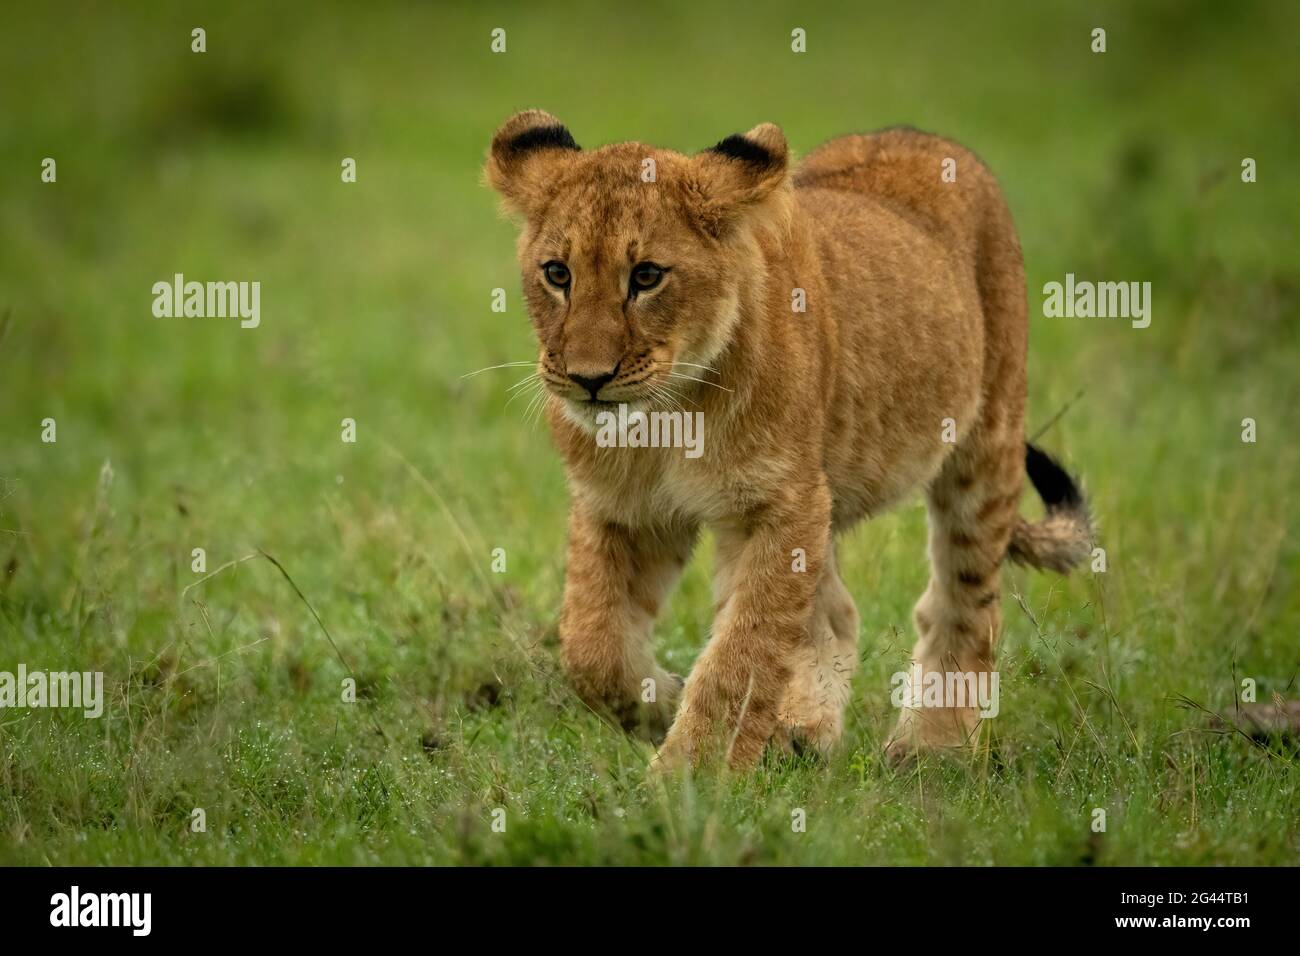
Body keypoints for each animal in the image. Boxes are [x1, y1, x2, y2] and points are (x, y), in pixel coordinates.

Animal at [484, 110, 1092, 769]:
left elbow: (741, 655)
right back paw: (802, 731)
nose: (588, 379)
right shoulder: (624, 509)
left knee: (965, 604)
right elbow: (590, 648)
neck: (666, 419)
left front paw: (689, 774)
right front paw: (662, 704)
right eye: (557, 273)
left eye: (646, 276)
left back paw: (933, 747)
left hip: (984, 444)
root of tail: (916, 134)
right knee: (837, 612)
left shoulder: (780, 506)